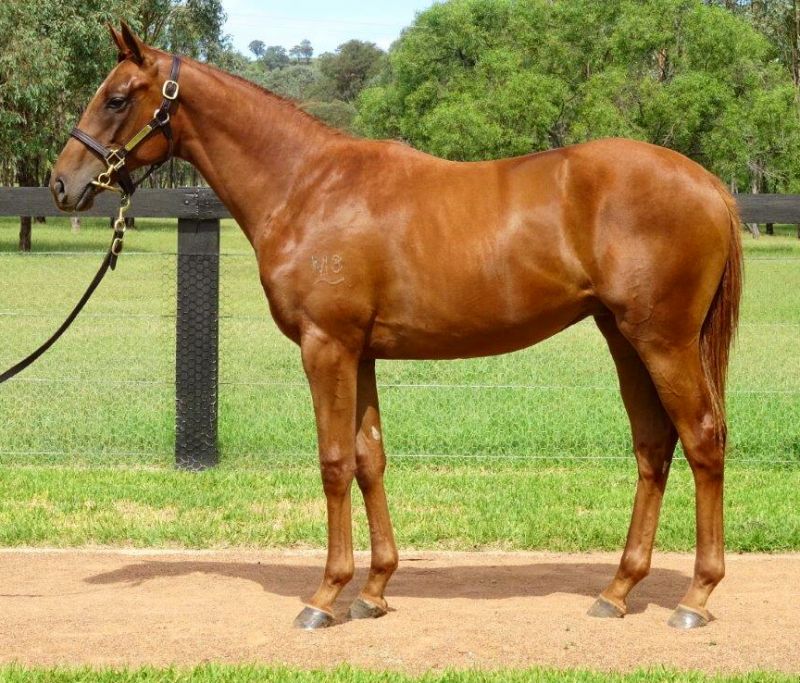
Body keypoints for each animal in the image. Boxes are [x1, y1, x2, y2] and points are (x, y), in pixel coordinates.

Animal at [51, 23, 742, 631]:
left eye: (117, 97)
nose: (62, 184)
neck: (307, 186)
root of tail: (710, 184)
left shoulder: (326, 346)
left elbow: (333, 462)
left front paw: (325, 596)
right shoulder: (360, 354)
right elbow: (369, 459)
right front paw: (374, 590)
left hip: (664, 342)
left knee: (703, 440)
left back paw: (696, 597)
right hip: (624, 339)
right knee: (653, 447)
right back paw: (618, 591)